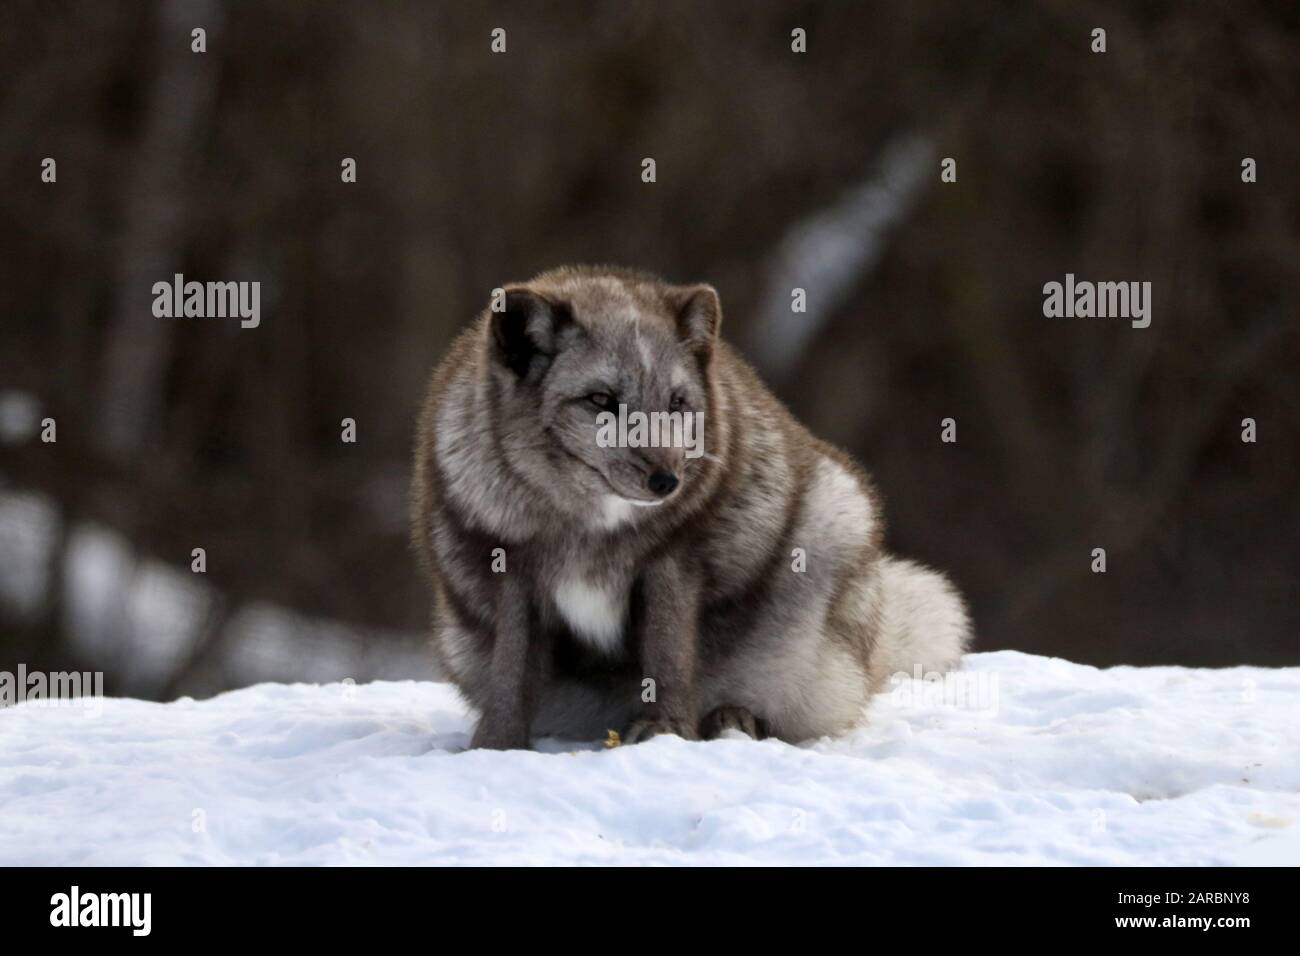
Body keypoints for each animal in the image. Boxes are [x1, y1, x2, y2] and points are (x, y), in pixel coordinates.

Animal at [411, 265, 971, 749]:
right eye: (600, 400)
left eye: (677, 403)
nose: (668, 481)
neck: (588, 529)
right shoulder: (511, 567)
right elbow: (513, 670)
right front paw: (496, 746)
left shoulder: (677, 557)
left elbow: (668, 651)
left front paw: (666, 730)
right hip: (460, 644)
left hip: (827, 542)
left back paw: (733, 718)